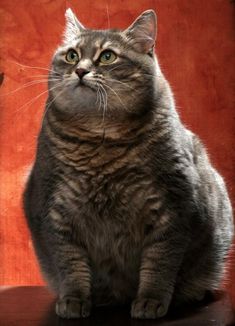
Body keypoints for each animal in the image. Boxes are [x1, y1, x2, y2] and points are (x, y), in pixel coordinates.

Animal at [23, 8, 233, 320]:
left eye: (107, 56)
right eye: (71, 55)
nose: (80, 70)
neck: (100, 142)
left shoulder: (174, 210)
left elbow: (159, 265)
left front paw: (150, 302)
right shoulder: (54, 211)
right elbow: (69, 264)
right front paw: (74, 300)